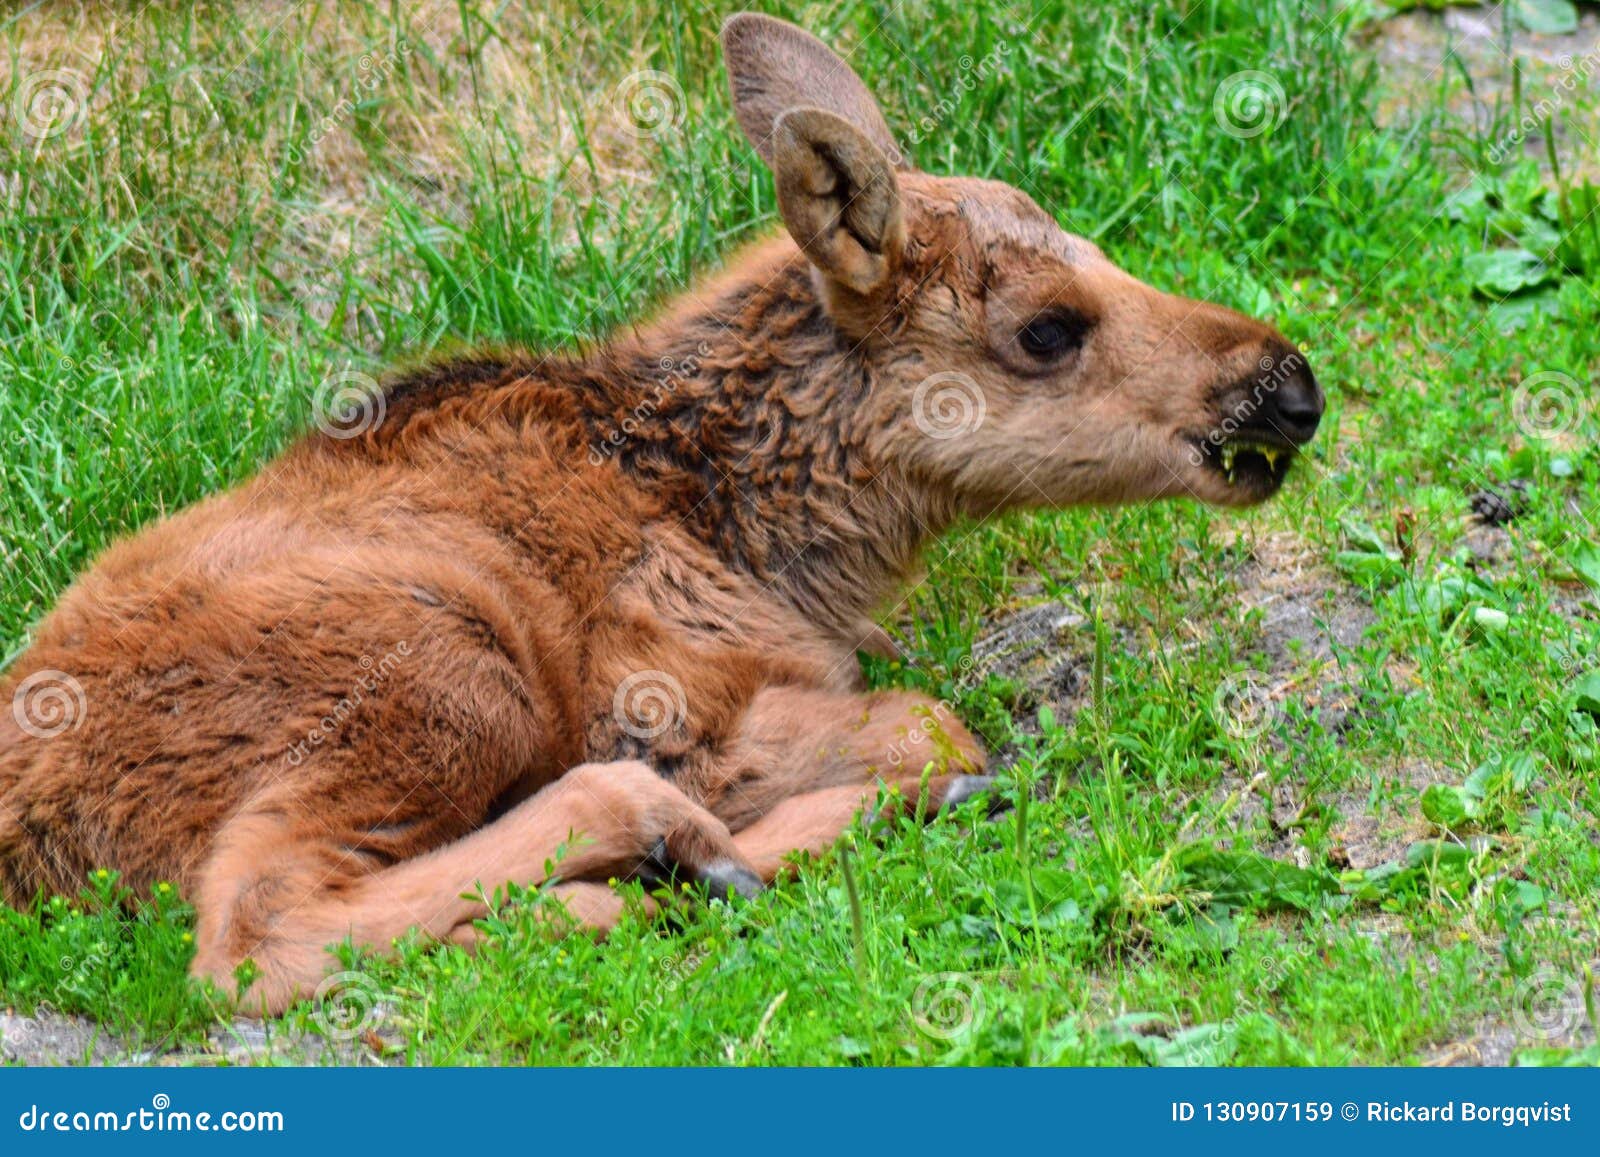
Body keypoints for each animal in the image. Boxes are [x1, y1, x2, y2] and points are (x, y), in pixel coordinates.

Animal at [0, 13, 1322, 1014]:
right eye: (1047, 327)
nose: (1289, 384)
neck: (762, 535)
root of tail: (32, 831)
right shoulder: (670, 699)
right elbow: (930, 719)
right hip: (439, 658)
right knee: (252, 931)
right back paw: (654, 868)